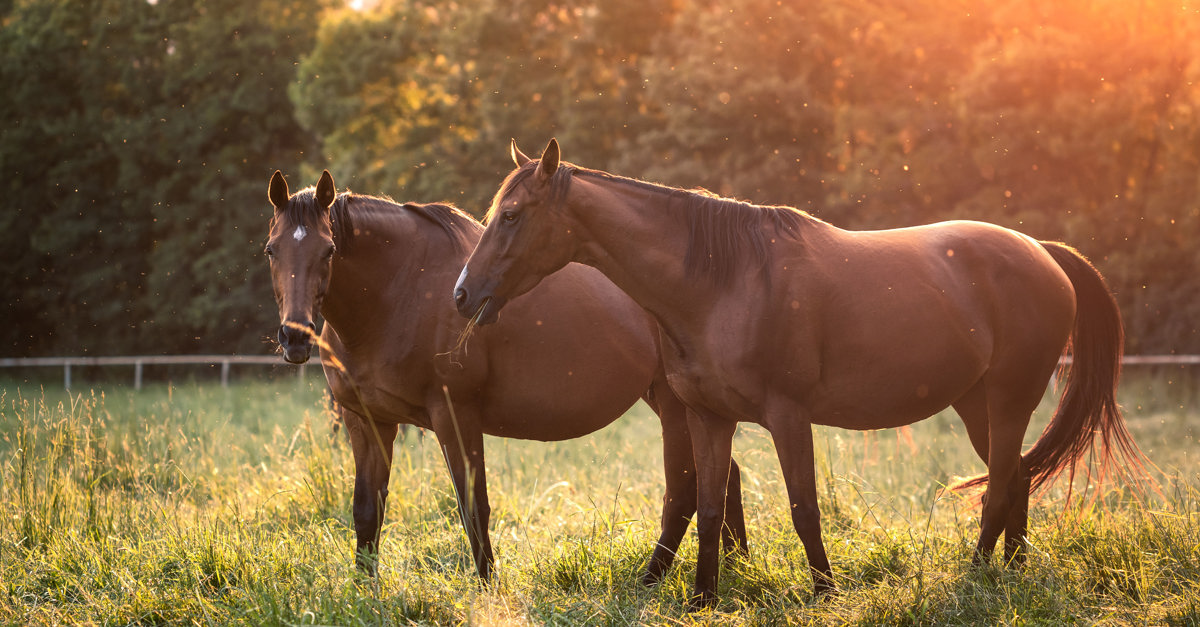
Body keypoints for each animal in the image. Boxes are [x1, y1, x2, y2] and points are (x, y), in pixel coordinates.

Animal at [263, 169, 749, 584]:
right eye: (271, 250)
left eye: (328, 250)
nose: (295, 336)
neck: (399, 291)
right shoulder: (366, 421)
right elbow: (367, 511)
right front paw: (365, 590)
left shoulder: (454, 415)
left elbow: (473, 507)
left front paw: (488, 589)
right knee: (723, 478)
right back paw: (735, 565)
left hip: (675, 405)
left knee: (685, 490)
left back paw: (654, 580)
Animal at [453, 139, 1148, 608]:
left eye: (511, 216)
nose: (462, 295)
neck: (722, 281)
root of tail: (1042, 252)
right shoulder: (708, 418)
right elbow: (709, 505)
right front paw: (702, 598)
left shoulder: (788, 416)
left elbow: (802, 506)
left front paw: (824, 593)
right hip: (978, 404)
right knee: (1018, 478)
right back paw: (1011, 575)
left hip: (1007, 401)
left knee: (1003, 484)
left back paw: (979, 577)